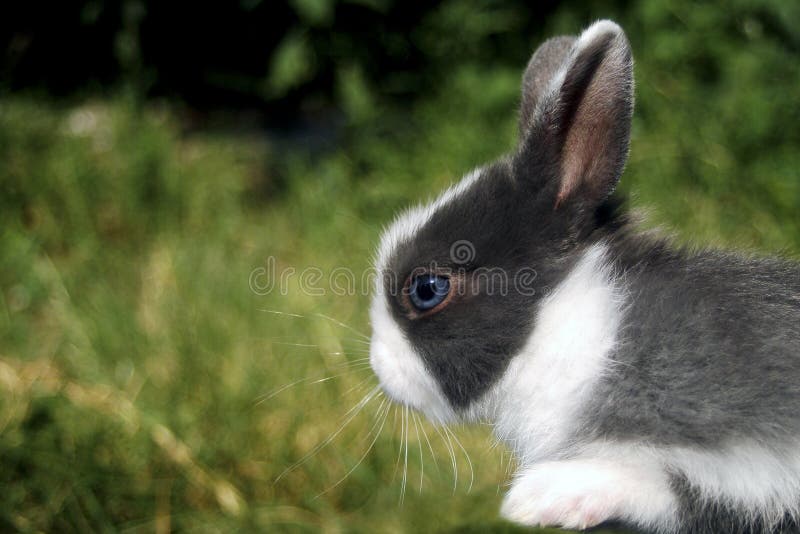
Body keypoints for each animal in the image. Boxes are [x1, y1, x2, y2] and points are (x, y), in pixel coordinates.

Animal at [368, 19, 800, 534]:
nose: (377, 366)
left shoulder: (738, 451)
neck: (577, 327)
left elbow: (672, 488)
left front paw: (541, 496)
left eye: (427, 289)